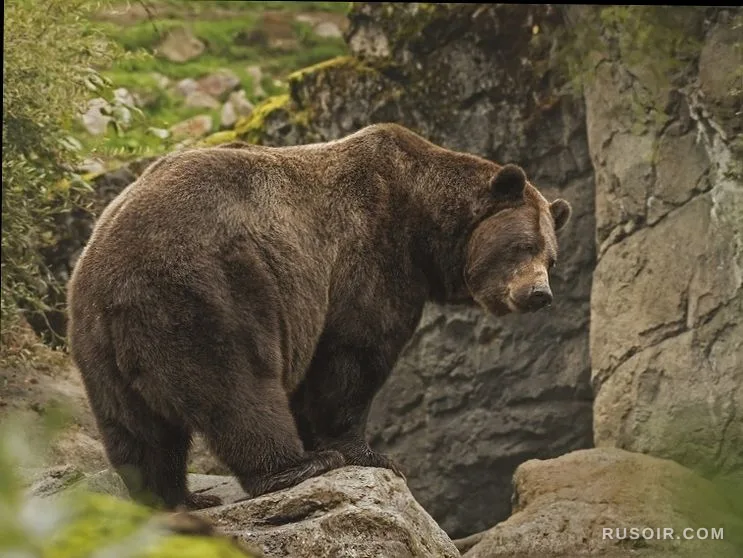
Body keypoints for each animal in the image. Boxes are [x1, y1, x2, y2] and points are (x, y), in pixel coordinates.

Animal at [67, 123, 571, 510]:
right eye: (523, 246)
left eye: (551, 257)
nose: (539, 295)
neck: (423, 224)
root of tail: (113, 282)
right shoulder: (368, 256)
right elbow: (353, 358)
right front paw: (369, 454)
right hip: (206, 291)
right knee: (237, 387)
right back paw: (294, 467)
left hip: (96, 341)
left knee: (137, 429)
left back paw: (176, 497)